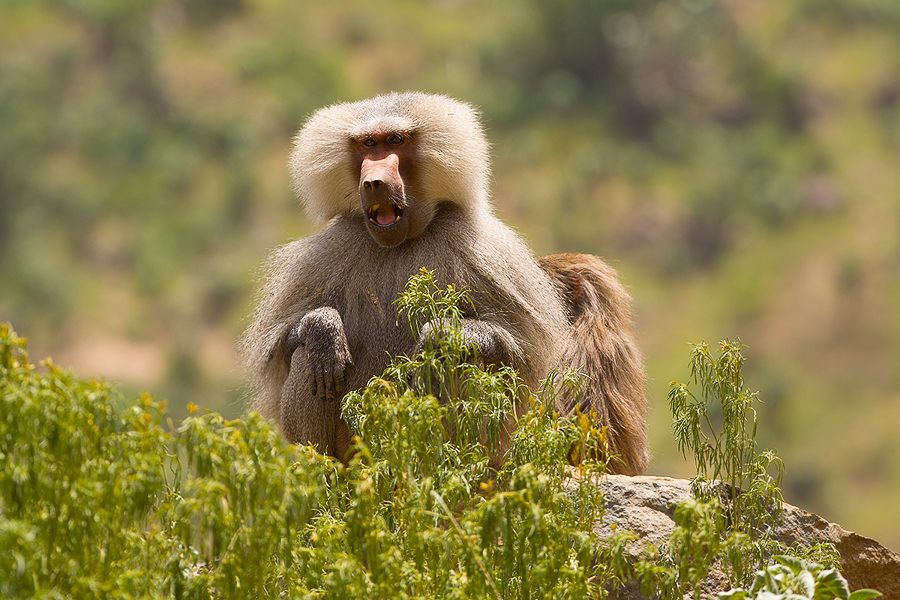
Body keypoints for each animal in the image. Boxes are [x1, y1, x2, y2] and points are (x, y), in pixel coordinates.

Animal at [240, 91, 649, 475]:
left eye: (396, 140)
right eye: (368, 144)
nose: (373, 181)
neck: (401, 243)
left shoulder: (487, 253)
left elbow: (522, 357)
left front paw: (443, 333)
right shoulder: (326, 253)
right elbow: (278, 352)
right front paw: (323, 328)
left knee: (459, 360)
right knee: (308, 356)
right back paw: (319, 464)